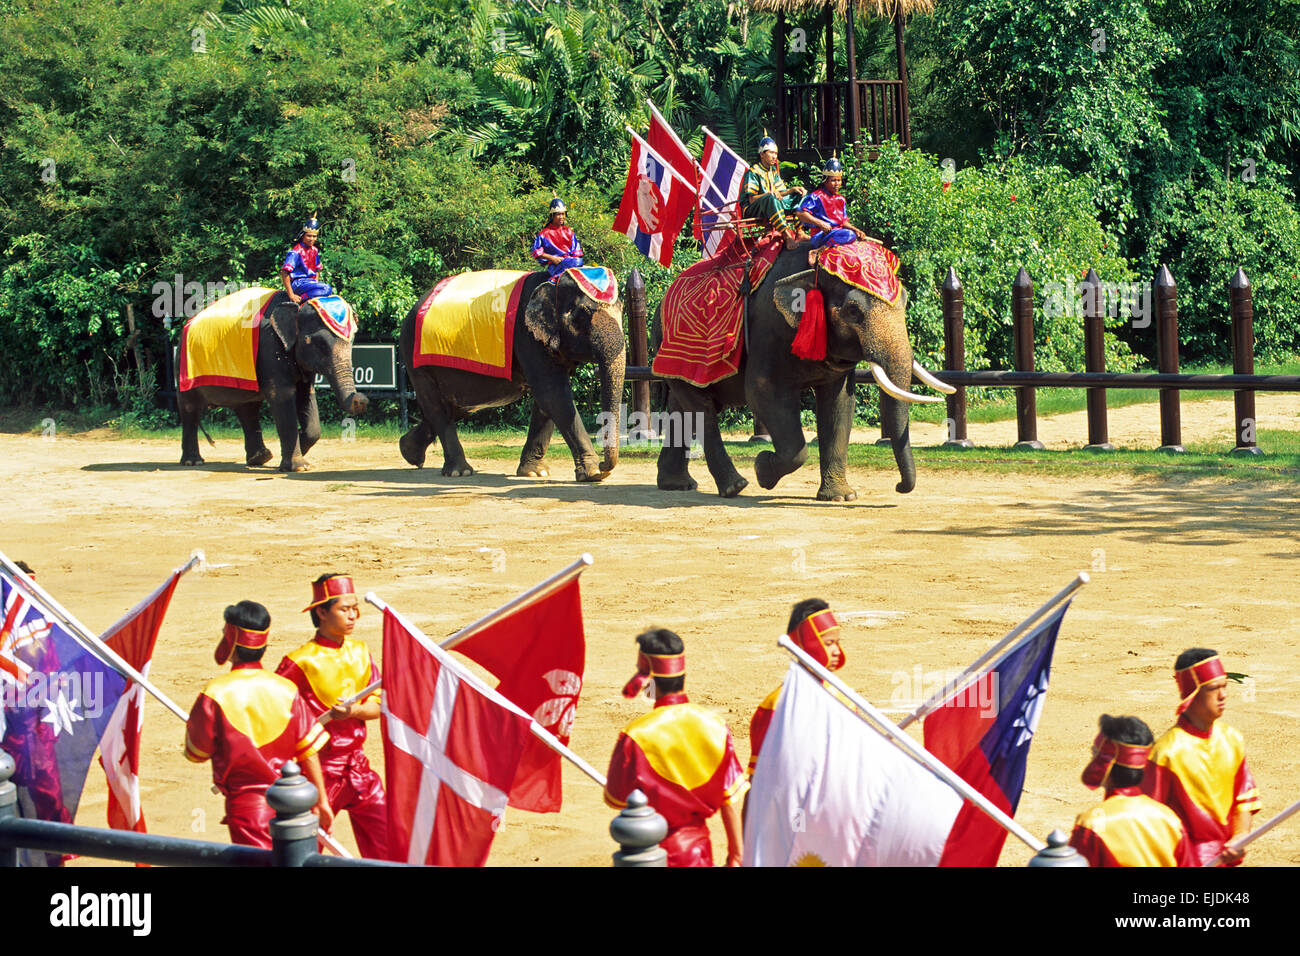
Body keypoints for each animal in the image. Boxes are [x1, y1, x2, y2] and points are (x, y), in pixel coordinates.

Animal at [179, 294, 369, 472]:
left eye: (352, 340)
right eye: (317, 344)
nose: (362, 399)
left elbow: (306, 395)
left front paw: (301, 444)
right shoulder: (270, 347)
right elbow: (281, 396)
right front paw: (299, 466)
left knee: (247, 409)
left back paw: (260, 458)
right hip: (184, 370)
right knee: (191, 410)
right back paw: (193, 462)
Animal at [398, 269, 626, 481]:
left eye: (622, 309)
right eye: (583, 315)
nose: (605, 464)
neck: (551, 281)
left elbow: (546, 402)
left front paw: (536, 473)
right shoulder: (526, 336)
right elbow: (553, 394)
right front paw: (594, 473)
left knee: (454, 407)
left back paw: (409, 453)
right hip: (416, 360)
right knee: (437, 407)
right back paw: (459, 472)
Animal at [654, 243, 952, 500]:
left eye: (906, 300)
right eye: (853, 311)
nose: (899, 487)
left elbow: (840, 403)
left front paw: (841, 497)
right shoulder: (768, 333)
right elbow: (763, 394)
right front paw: (762, 468)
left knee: (682, 408)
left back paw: (678, 484)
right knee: (701, 411)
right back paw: (734, 487)